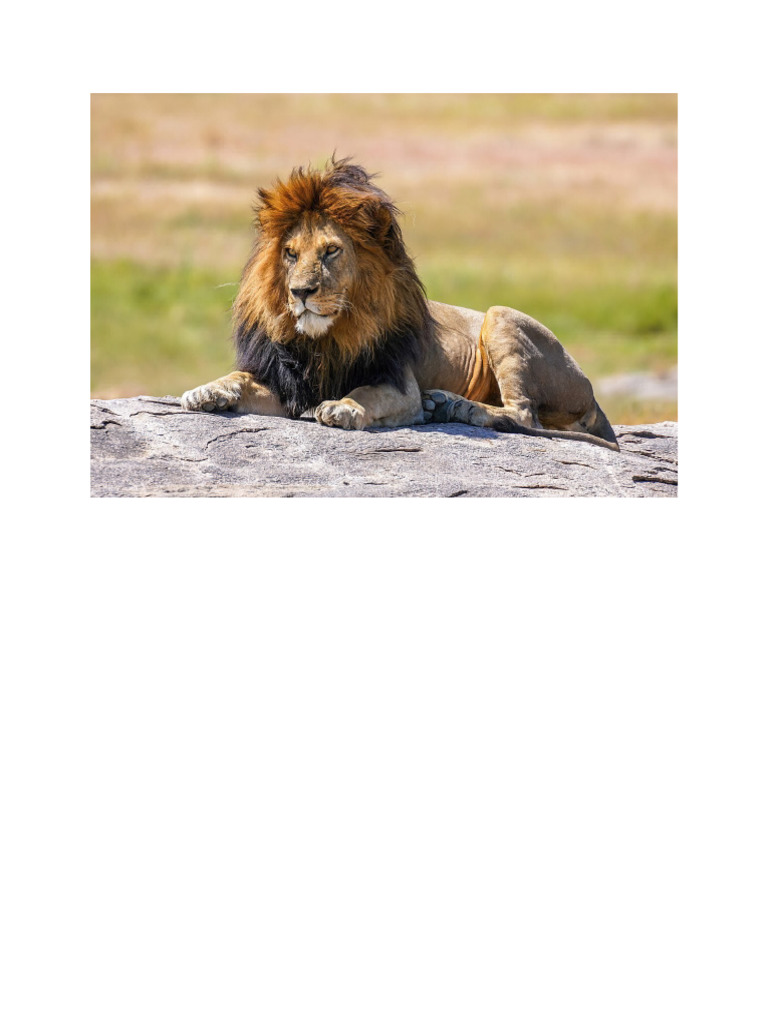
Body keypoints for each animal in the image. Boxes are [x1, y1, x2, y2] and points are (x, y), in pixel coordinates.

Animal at [181, 157, 619, 451]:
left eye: (331, 251)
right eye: (290, 254)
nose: (300, 292)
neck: (327, 339)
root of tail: (593, 393)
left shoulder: (400, 385)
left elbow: (365, 394)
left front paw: (342, 407)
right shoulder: (288, 385)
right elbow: (239, 378)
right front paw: (206, 391)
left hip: (500, 317)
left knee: (523, 414)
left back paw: (454, 407)